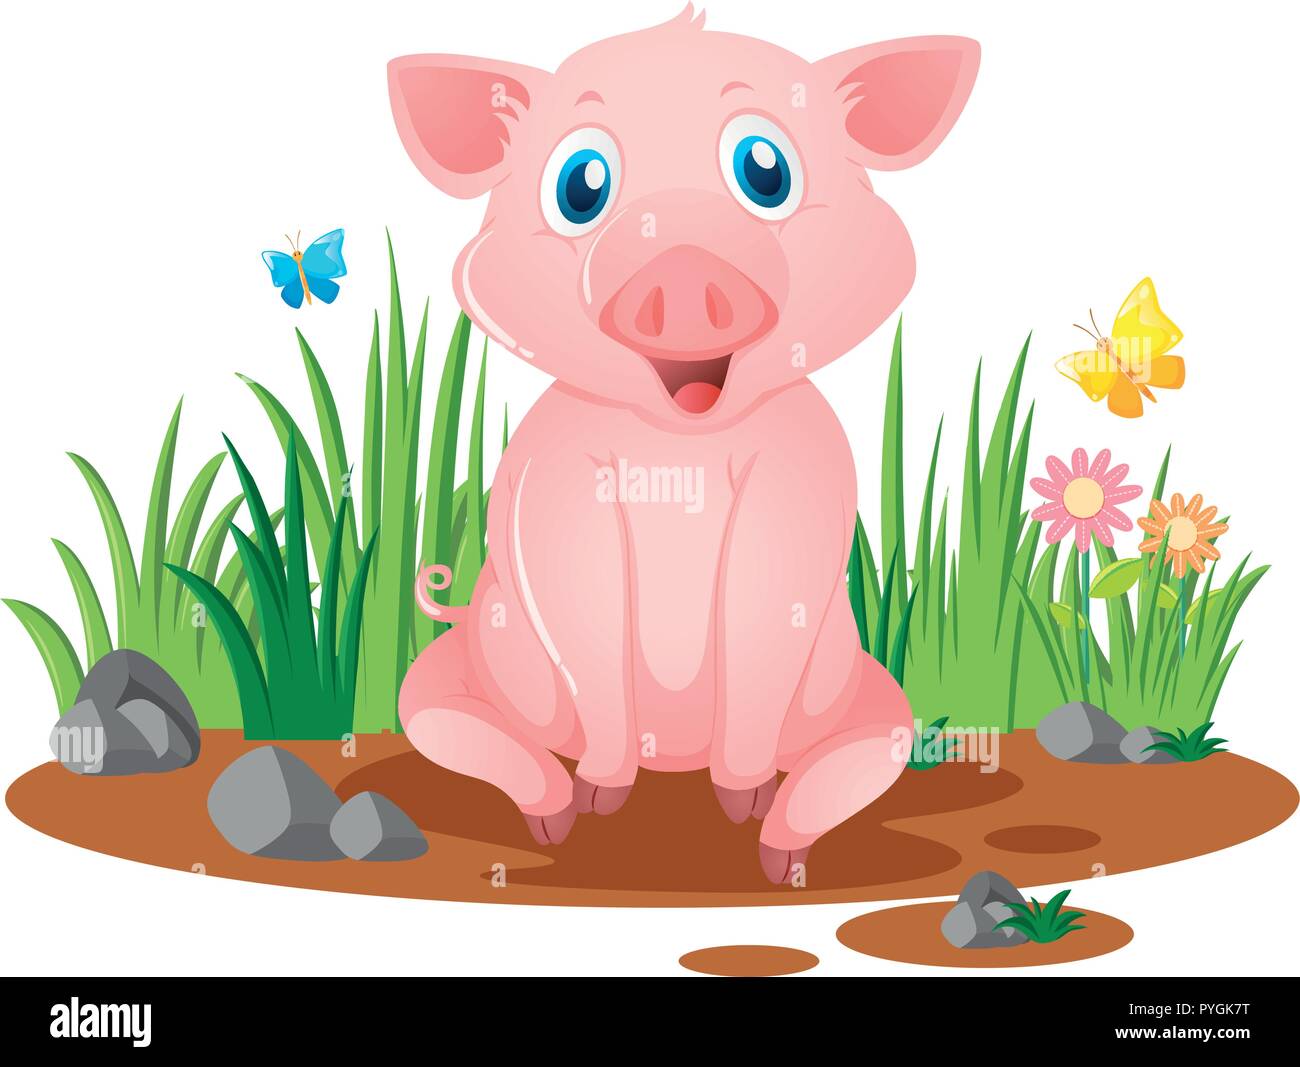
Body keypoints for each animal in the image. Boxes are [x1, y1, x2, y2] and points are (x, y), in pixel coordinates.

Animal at [389, 6, 978, 883]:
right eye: (581, 185)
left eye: (765, 170)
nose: (684, 269)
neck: (682, 447)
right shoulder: (557, 498)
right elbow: (588, 623)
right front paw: (603, 799)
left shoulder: (799, 496)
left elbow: (762, 618)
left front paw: (740, 801)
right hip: (455, 670)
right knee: (440, 719)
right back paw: (559, 820)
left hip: (871, 700)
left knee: (871, 747)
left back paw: (776, 850)